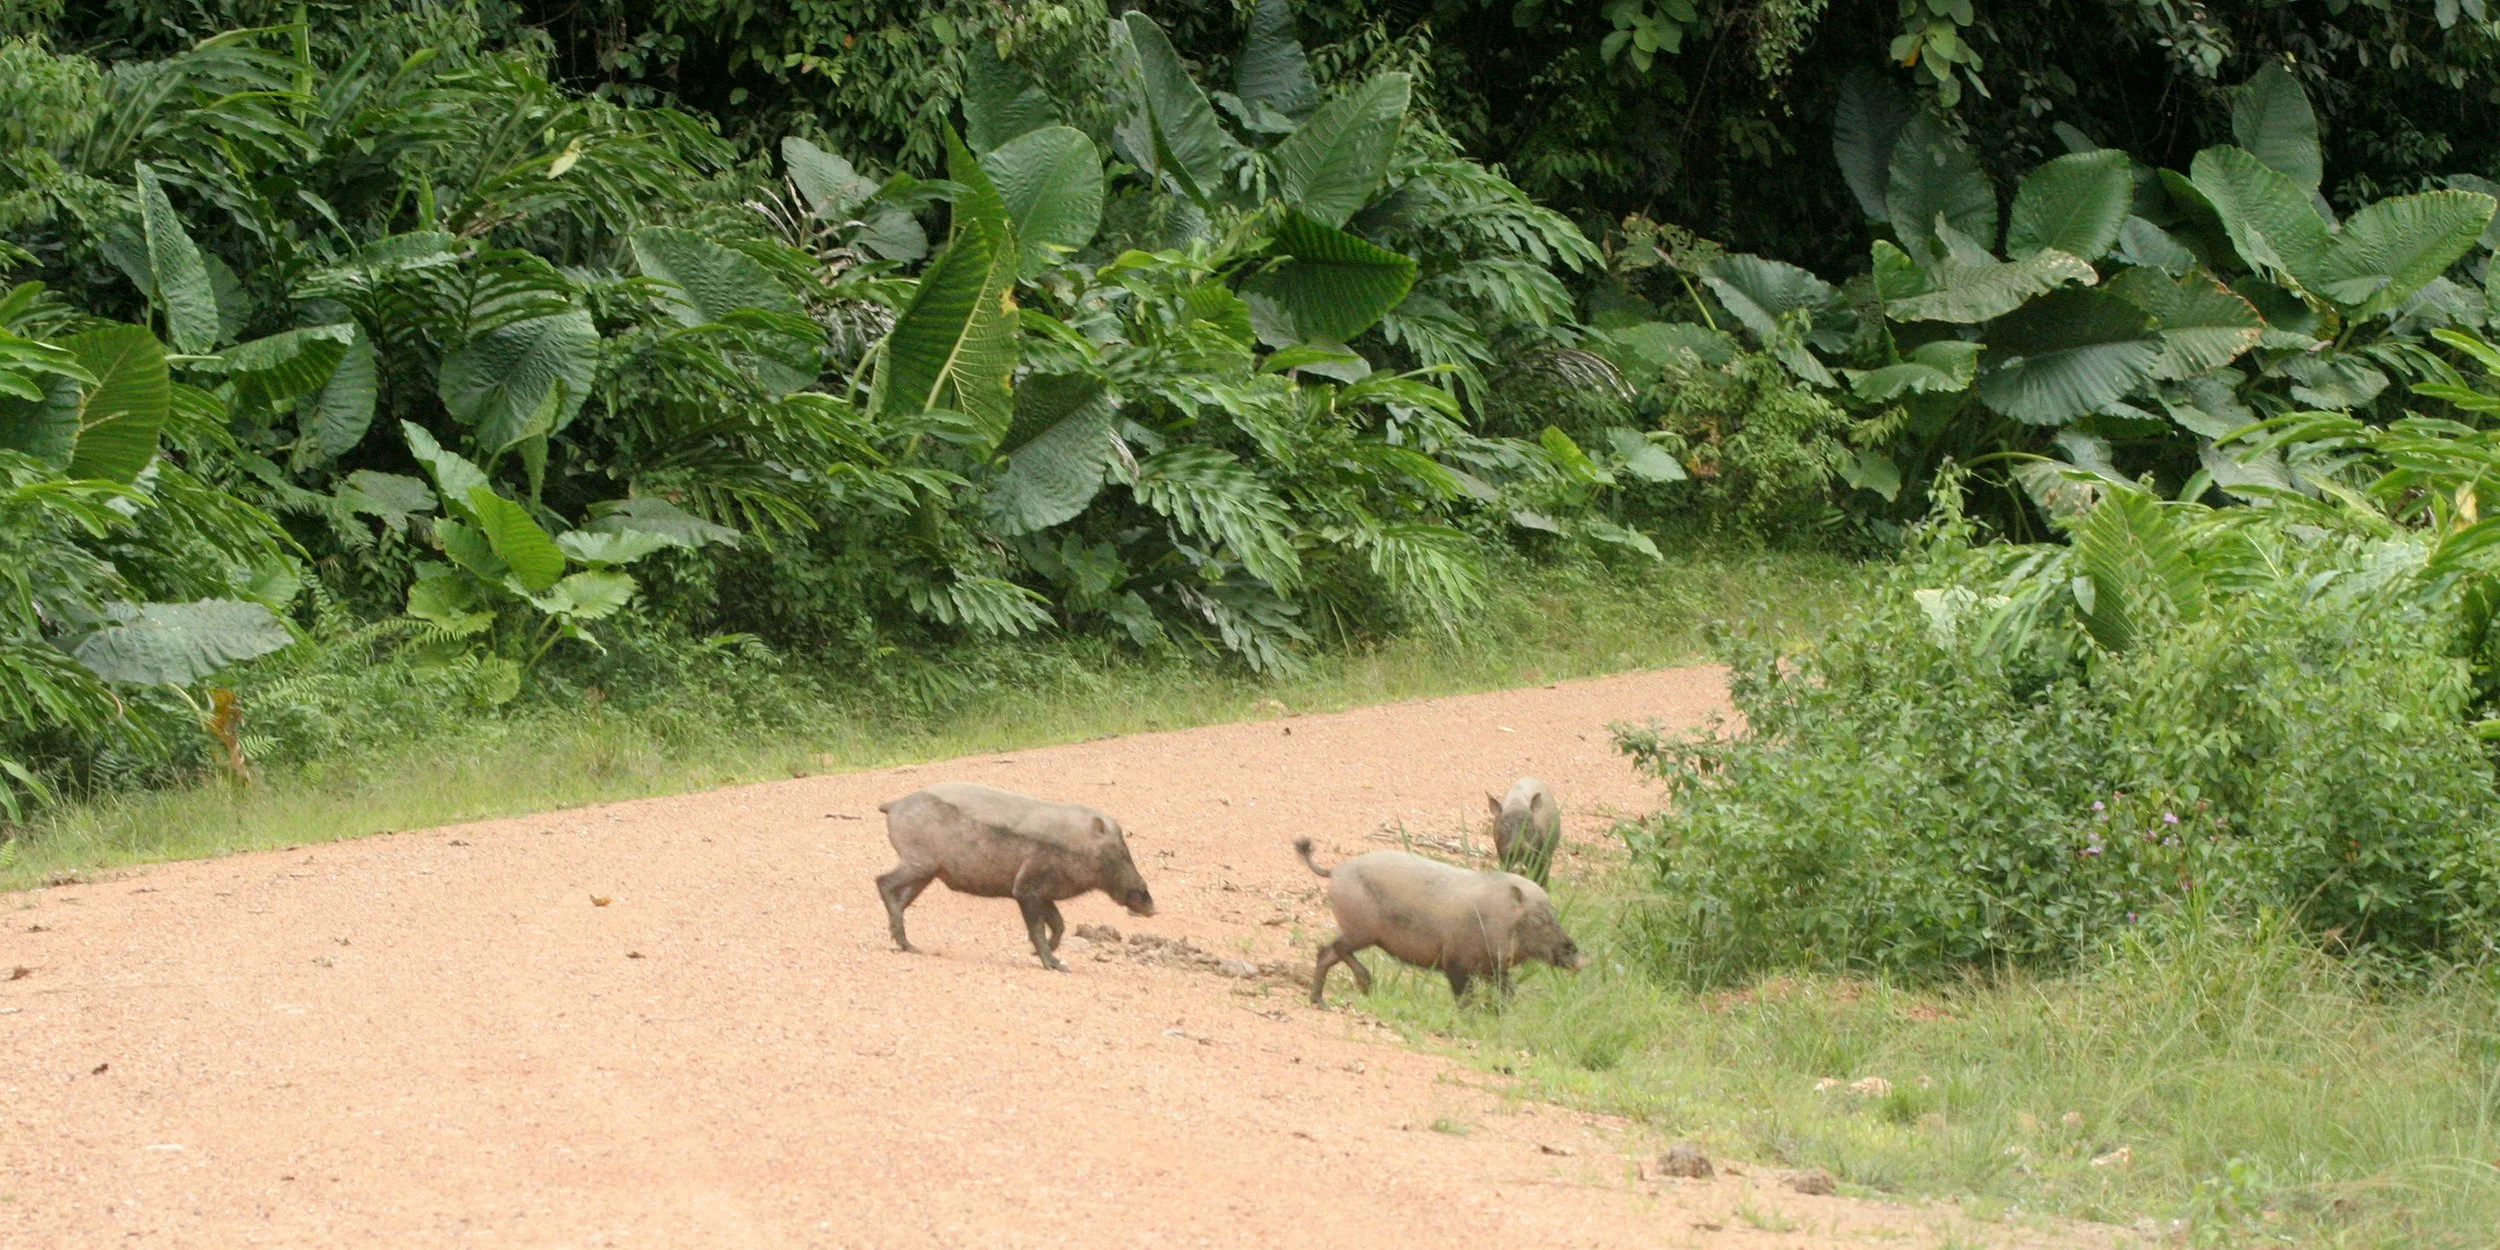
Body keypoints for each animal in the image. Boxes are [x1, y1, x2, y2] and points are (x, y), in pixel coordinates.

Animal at [875, 782, 1155, 972]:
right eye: (1121, 853)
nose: (1153, 908)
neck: (1079, 848)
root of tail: (894, 804)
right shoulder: (1026, 888)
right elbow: (1038, 928)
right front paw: (1056, 966)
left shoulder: (1044, 893)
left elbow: (1059, 923)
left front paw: (1037, 956)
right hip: (919, 862)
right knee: (882, 881)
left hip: (927, 872)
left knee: (900, 898)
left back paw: (909, 947)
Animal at [1294, 838, 1582, 1005]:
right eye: (1540, 918)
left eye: (1554, 912)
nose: (1577, 954)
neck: (1500, 918)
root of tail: (1336, 871)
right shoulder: (1454, 962)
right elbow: (1464, 999)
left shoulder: (1494, 969)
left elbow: (1506, 994)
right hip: (1361, 932)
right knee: (1336, 949)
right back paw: (1364, 986)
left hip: (1357, 933)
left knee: (1325, 952)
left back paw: (1319, 1001)